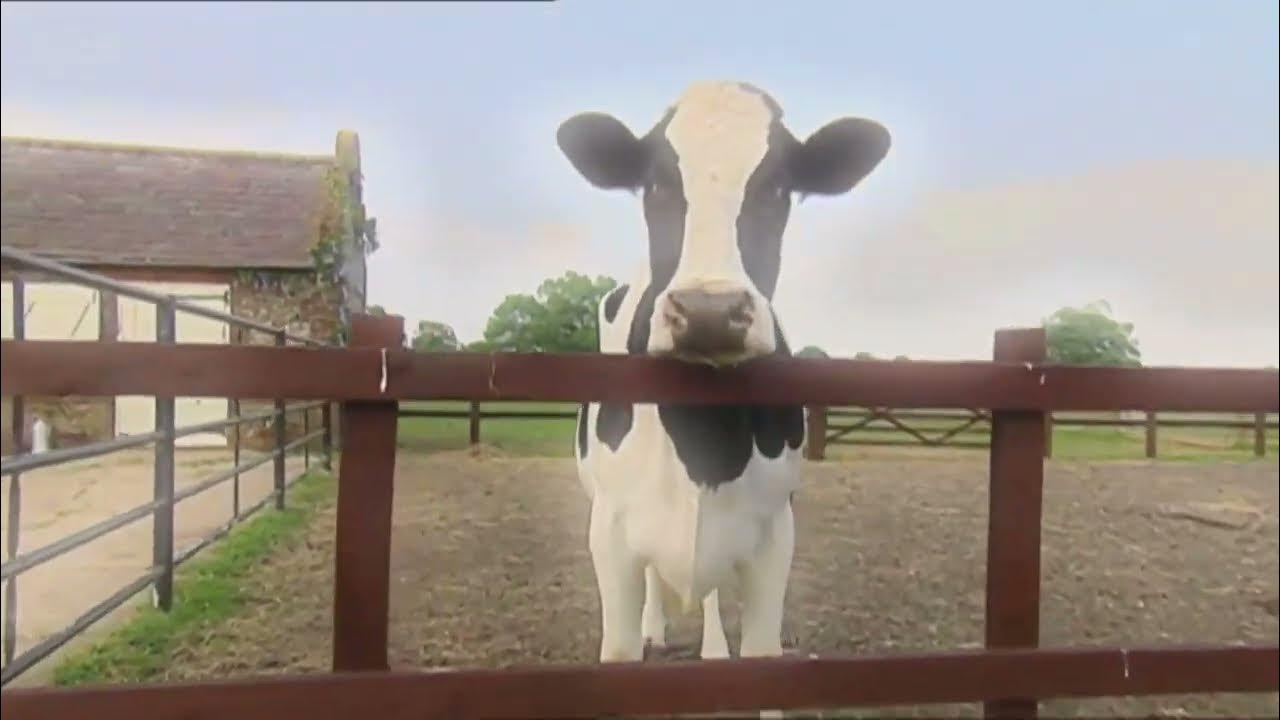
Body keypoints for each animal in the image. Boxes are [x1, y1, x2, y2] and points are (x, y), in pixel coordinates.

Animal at [558, 81, 890, 665]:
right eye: (655, 184)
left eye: (779, 187)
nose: (708, 311)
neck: (703, 443)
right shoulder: (610, 534)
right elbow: (619, 648)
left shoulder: (775, 533)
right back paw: (655, 628)